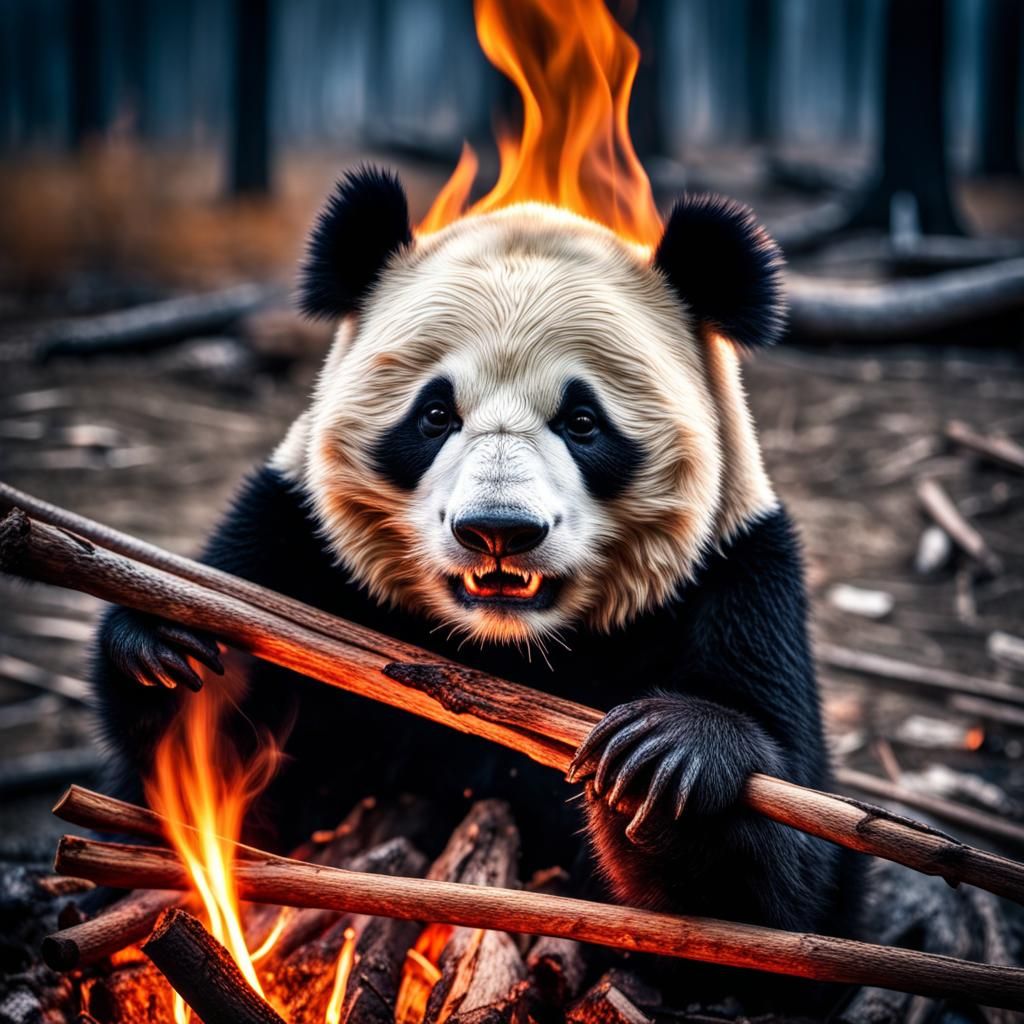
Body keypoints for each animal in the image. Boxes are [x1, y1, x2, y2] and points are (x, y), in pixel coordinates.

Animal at [93, 166, 861, 947]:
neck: (505, 648)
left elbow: (785, 896)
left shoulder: (739, 572)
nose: (498, 530)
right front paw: (172, 644)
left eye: (582, 421)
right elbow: (222, 799)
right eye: (435, 415)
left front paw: (664, 760)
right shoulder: (294, 535)